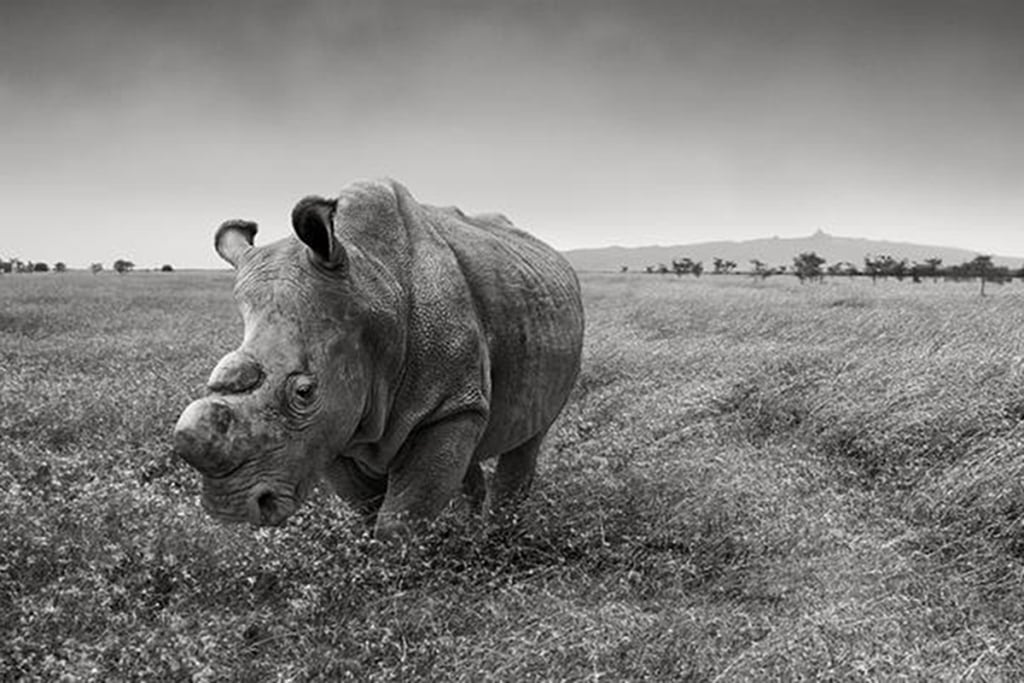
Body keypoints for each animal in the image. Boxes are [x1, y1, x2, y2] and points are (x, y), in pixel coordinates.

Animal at [172, 179, 584, 539]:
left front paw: (398, 566)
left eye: (304, 392)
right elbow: (368, 507)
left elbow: (401, 517)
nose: (229, 508)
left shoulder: (446, 406)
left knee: (528, 438)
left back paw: (498, 537)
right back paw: (469, 530)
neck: (372, 288)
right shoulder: (335, 424)